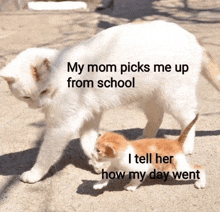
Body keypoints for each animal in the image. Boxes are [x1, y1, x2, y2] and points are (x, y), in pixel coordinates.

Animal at [0, 22, 219, 184]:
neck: (63, 77)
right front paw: (97, 160)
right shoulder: (89, 115)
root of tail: (191, 37)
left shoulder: (62, 126)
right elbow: (88, 141)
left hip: (174, 96)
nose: (38, 105)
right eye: (26, 97)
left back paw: (187, 144)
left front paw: (34, 173)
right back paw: (144, 139)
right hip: (150, 97)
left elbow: (46, 154)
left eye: (44, 91)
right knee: (157, 118)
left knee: (189, 118)